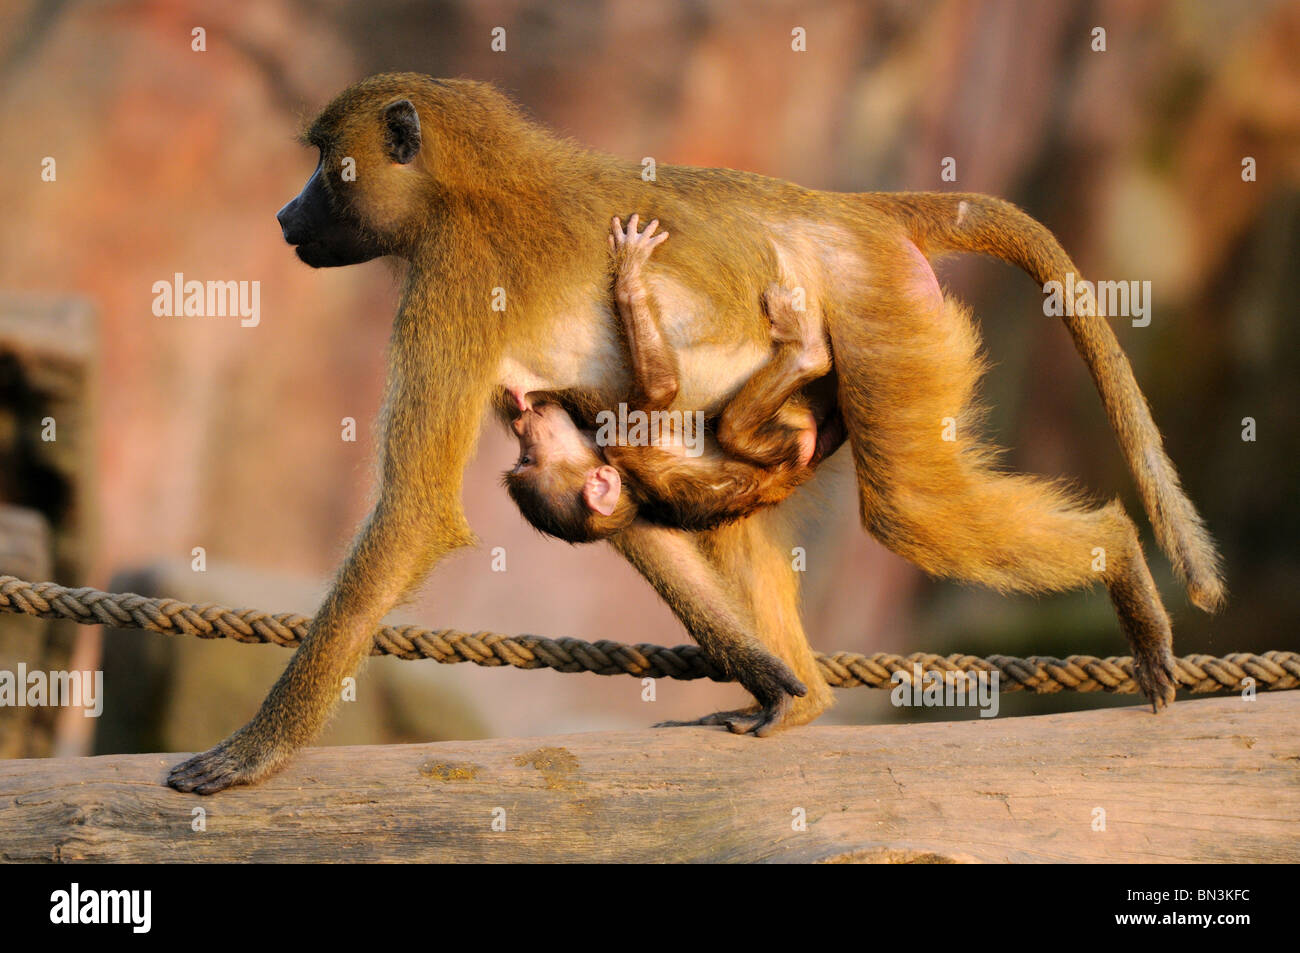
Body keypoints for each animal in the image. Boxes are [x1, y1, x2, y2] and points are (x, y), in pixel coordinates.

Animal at [504, 213, 842, 543]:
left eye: (523, 460)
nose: (520, 424)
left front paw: (521, 394)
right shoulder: (620, 441)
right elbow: (661, 389)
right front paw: (629, 269)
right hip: (787, 454)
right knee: (732, 429)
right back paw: (808, 352)